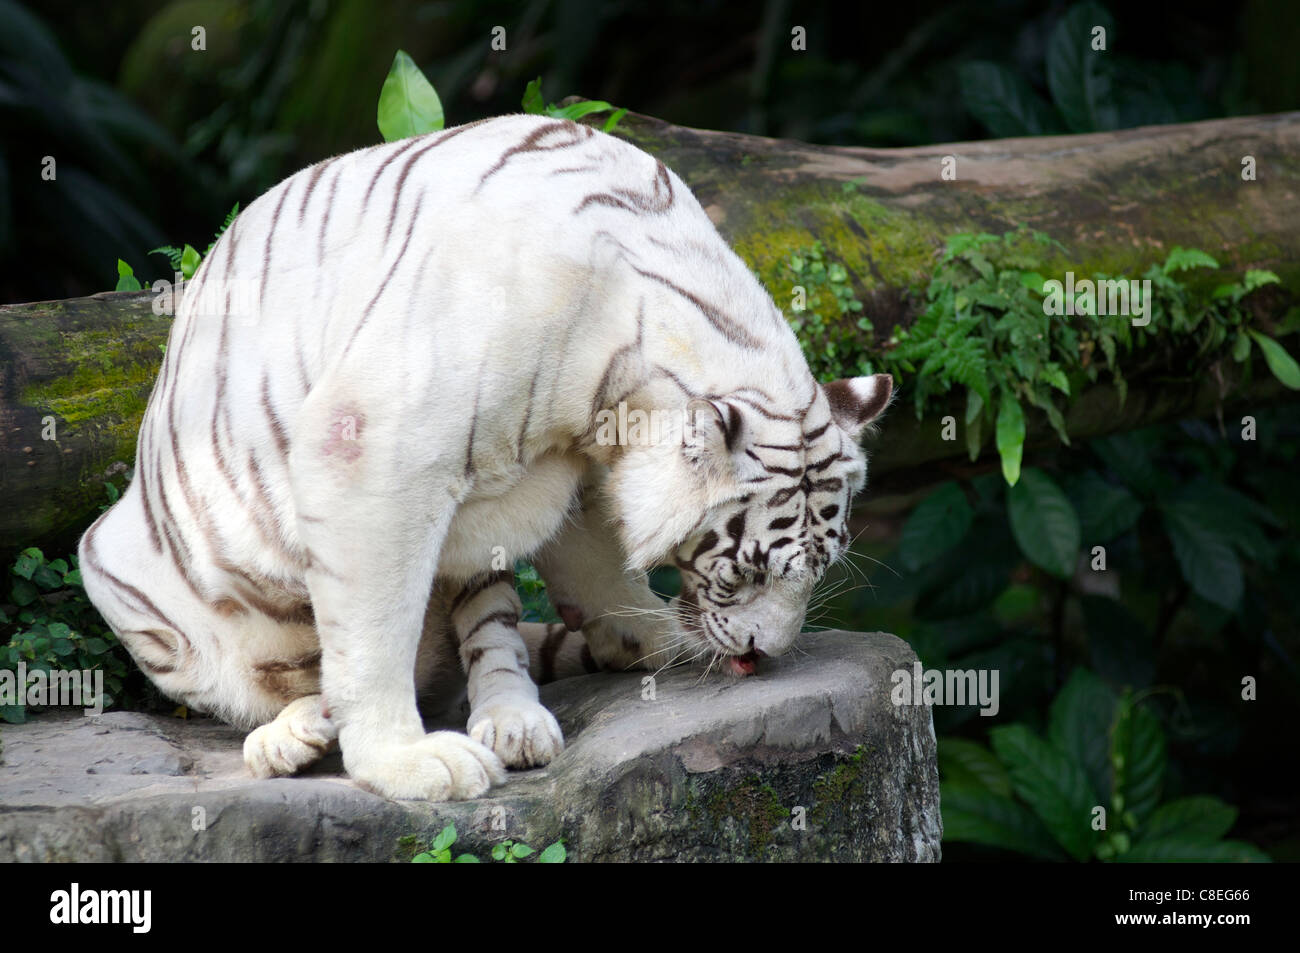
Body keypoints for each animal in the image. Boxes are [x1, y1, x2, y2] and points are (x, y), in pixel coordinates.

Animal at [78, 114, 893, 802]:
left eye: (816, 570)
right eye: (744, 572)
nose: (764, 653)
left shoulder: (578, 459)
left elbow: (596, 557)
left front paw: (650, 633)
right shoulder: (373, 450)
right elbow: (371, 634)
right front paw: (404, 761)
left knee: (492, 628)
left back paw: (516, 716)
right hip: (120, 571)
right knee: (266, 686)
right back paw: (296, 733)